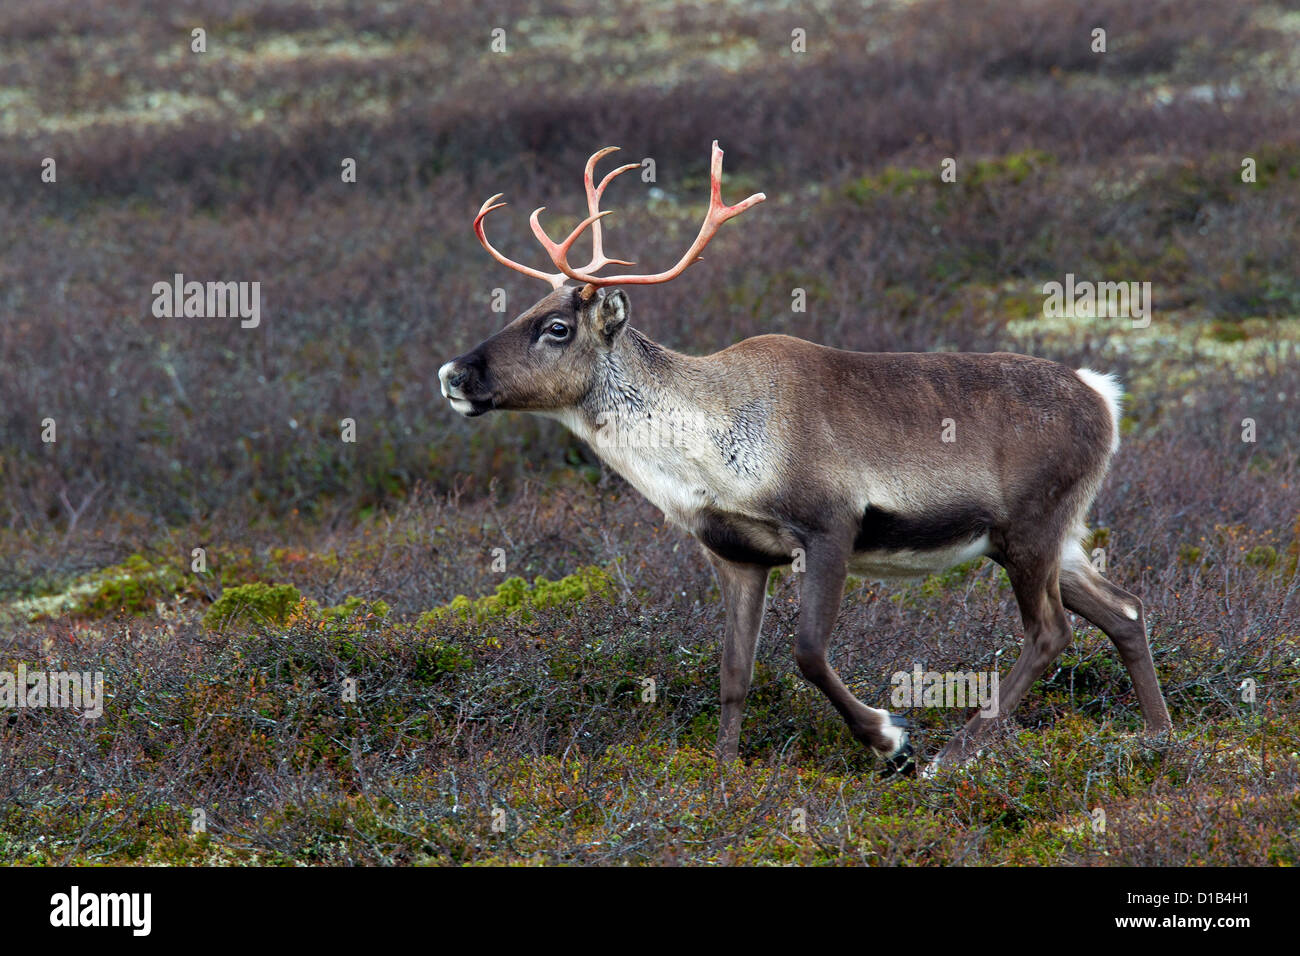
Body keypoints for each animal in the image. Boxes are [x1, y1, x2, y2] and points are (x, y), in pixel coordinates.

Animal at [439, 141, 1173, 774]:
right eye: (526, 308)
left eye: (557, 328)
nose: (453, 373)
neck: (711, 449)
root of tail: (1104, 398)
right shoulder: (735, 554)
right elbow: (734, 672)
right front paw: (724, 775)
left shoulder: (830, 525)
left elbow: (809, 653)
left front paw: (890, 738)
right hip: (1047, 536)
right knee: (1125, 610)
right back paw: (1160, 739)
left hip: (1030, 527)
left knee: (1050, 633)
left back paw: (952, 757)